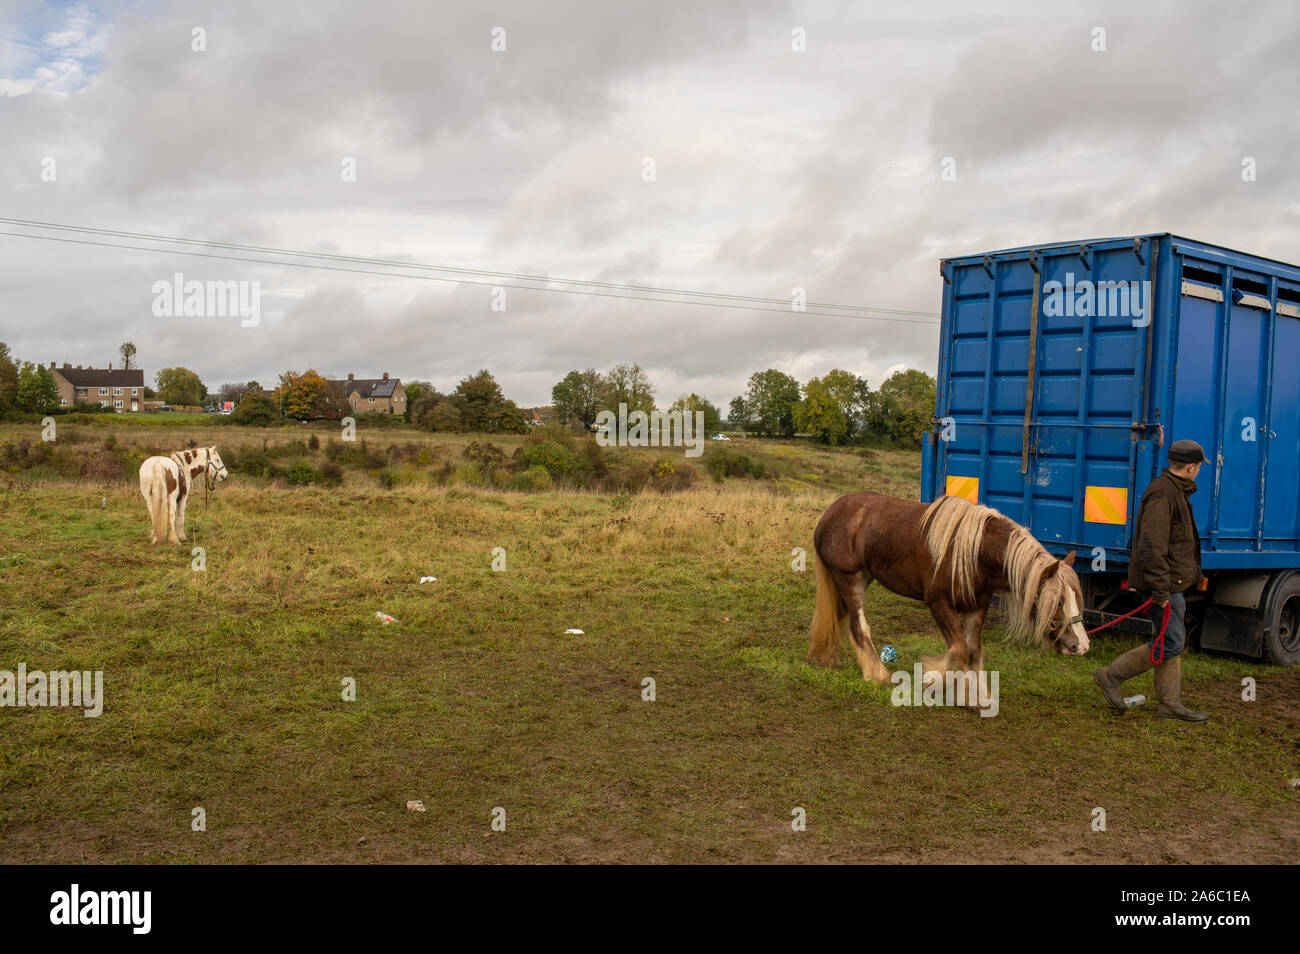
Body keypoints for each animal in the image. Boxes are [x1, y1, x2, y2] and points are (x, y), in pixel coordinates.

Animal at [809, 492, 1089, 701]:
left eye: (1077, 597)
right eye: (1059, 601)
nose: (1081, 646)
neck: (975, 552)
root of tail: (829, 514)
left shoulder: (977, 607)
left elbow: (973, 652)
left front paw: (977, 698)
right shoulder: (939, 603)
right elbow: (959, 651)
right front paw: (934, 679)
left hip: (860, 579)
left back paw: (828, 658)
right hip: (849, 579)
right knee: (859, 627)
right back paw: (877, 674)